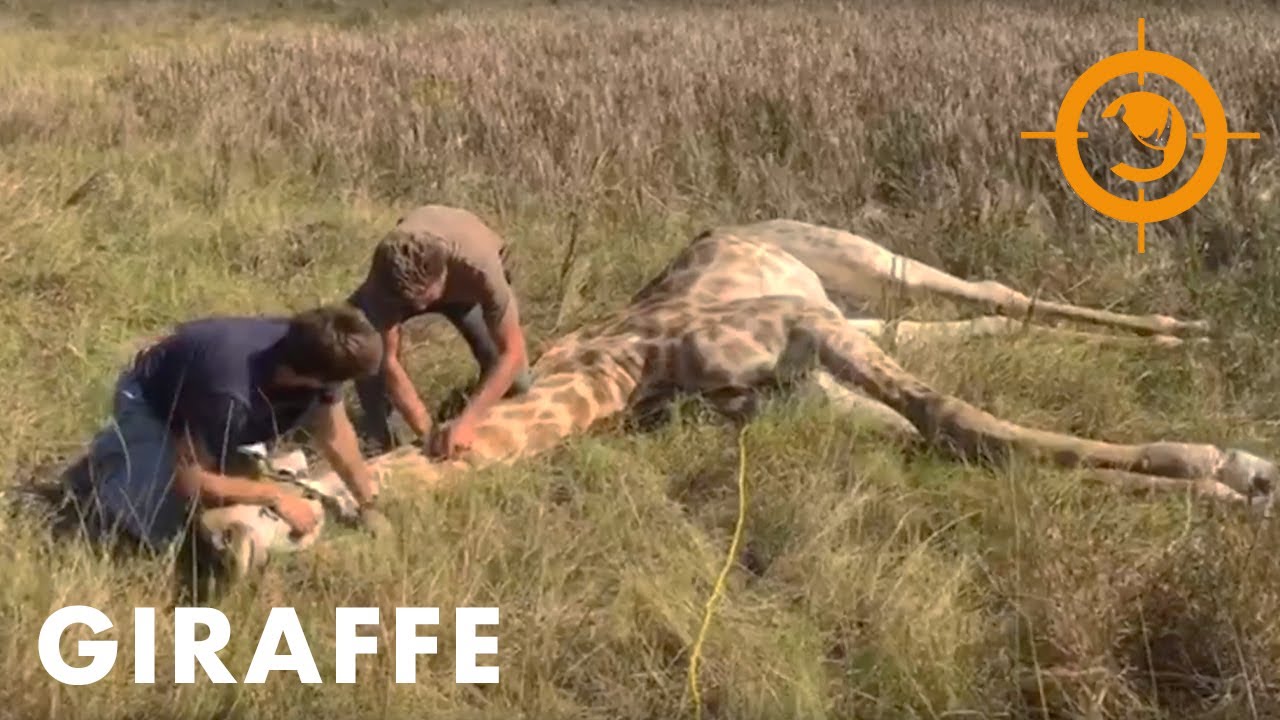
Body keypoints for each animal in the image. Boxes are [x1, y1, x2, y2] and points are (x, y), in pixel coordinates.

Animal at [200, 219, 1278, 563]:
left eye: (247, 515)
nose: (221, 566)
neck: (620, 381)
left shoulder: (800, 330)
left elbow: (958, 418)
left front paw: (1232, 469)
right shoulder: (799, 388)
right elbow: (954, 437)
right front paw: (1223, 473)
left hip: (858, 264)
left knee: (991, 293)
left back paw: (1190, 331)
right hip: (862, 312)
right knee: (980, 324)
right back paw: (1191, 343)